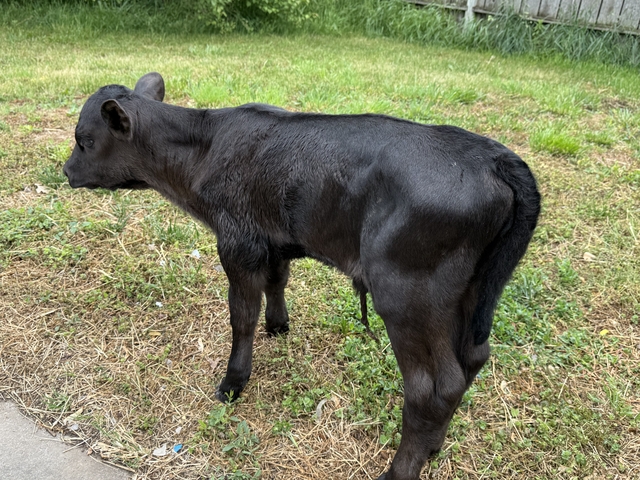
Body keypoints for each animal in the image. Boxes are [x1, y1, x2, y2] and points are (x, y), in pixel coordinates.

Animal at [63, 72, 540, 480]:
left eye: (84, 140)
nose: (66, 172)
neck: (203, 149)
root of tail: (493, 157)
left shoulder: (237, 241)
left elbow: (241, 317)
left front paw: (233, 382)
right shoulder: (274, 238)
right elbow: (277, 282)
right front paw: (279, 325)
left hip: (408, 293)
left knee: (434, 388)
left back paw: (400, 469)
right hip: (471, 290)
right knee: (473, 358)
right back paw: (434, 446)